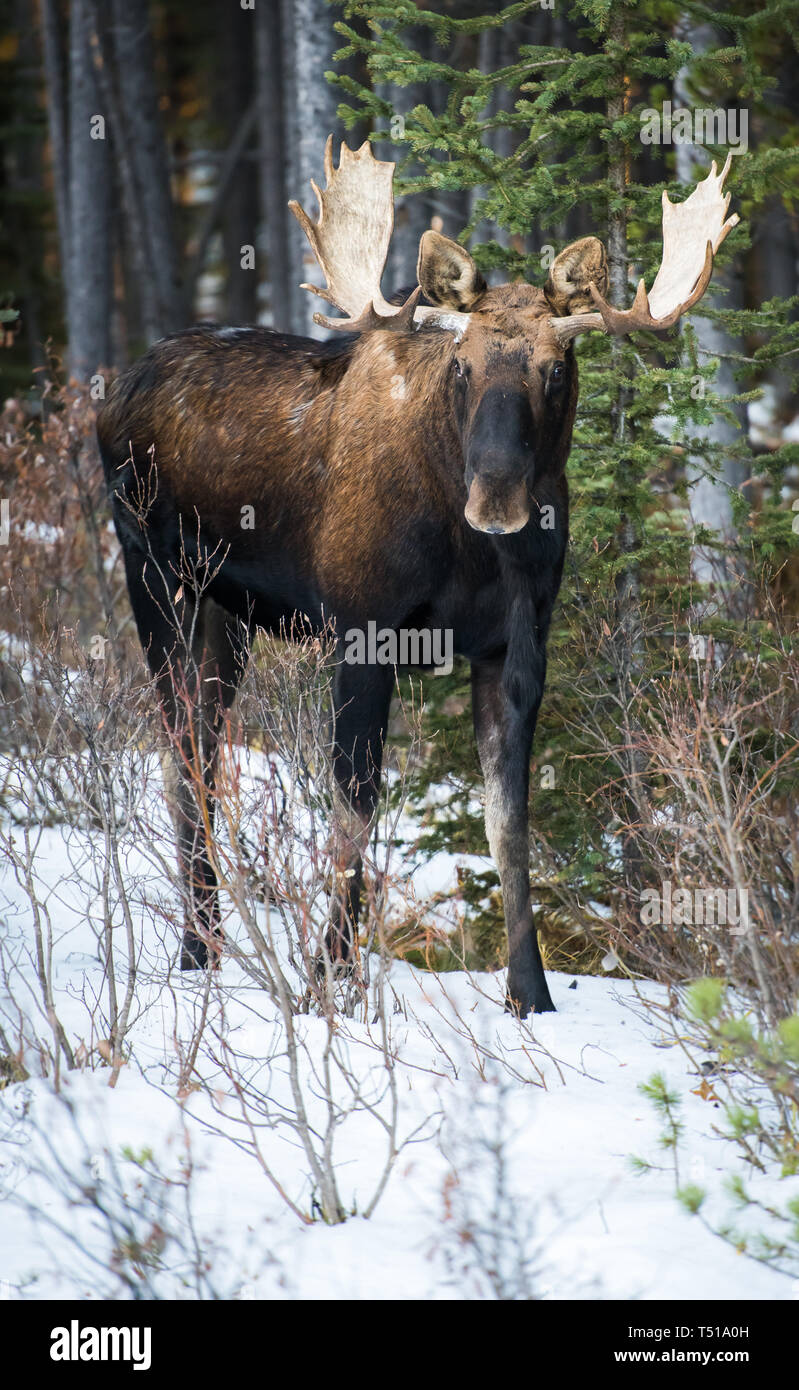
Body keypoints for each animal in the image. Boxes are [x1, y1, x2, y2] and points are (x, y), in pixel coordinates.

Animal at [97, 139, 737, 1017]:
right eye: (461, 366)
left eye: (554, 367)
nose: (497, 497)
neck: (472, 555)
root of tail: (115, 390)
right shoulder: (361, 632)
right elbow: (355, 804)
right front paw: (329, 977)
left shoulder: (516, 650)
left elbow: (508, 821)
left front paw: (530, 995)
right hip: (156, 579)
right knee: (179, 753)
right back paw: (196, 952)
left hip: (226, 614)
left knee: (202, 749)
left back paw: (210, 945)